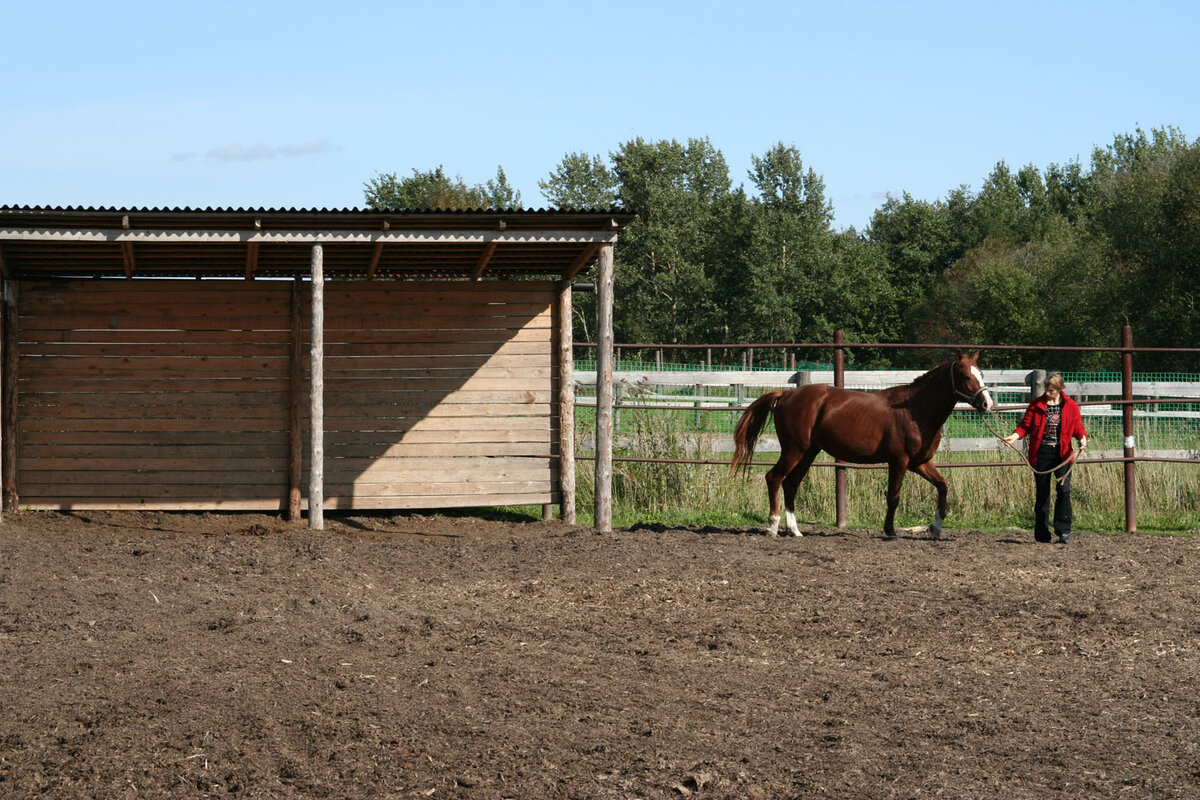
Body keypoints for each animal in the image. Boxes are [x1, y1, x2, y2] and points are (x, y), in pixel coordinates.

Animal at [729, 347, 993, 537]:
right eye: (966, 376)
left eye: (982, 374)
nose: (987, 404)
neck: (915, 410)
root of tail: (785, 394)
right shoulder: (899, 460)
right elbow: (894, 496)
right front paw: (890, 531)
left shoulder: (920, 463)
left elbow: (942, 485)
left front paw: (936, 527)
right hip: (794, 450)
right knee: (774, 478)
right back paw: (773, 526)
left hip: (808, 453)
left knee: (790, 484)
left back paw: (795, 530)